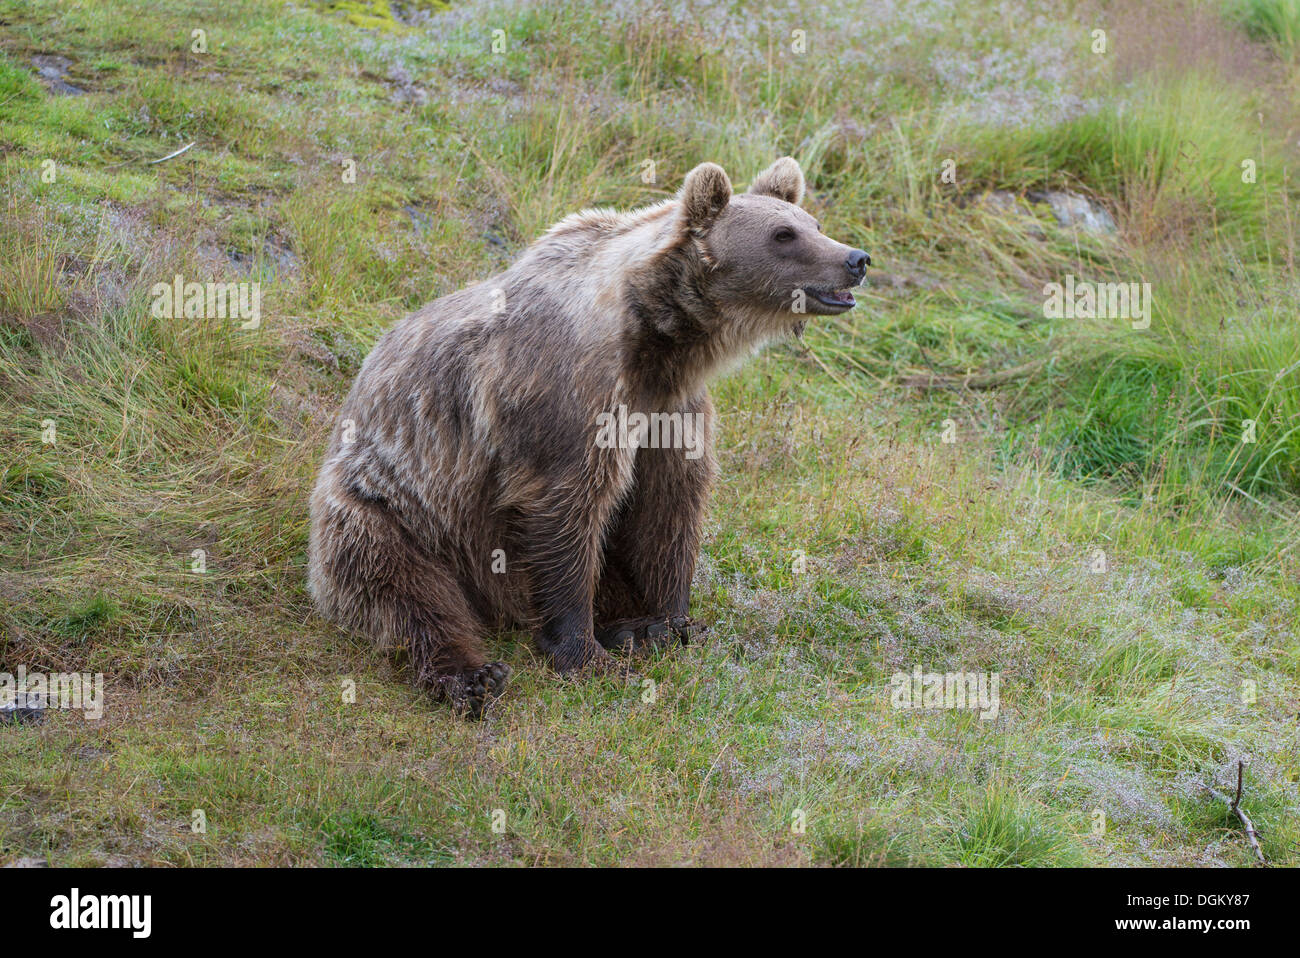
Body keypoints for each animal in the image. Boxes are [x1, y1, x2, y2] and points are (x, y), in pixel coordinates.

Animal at [307, 157, 869, 717]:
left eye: (813, 223)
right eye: (783, 235)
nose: (856, 259)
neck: (656, 341)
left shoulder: (672, 410)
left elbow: (668, 506)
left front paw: (672, 622)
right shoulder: (570, 398)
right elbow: (570, 507)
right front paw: (583, 653)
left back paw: (629, 630)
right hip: (395, 508)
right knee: (401, 587)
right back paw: (472, 675)